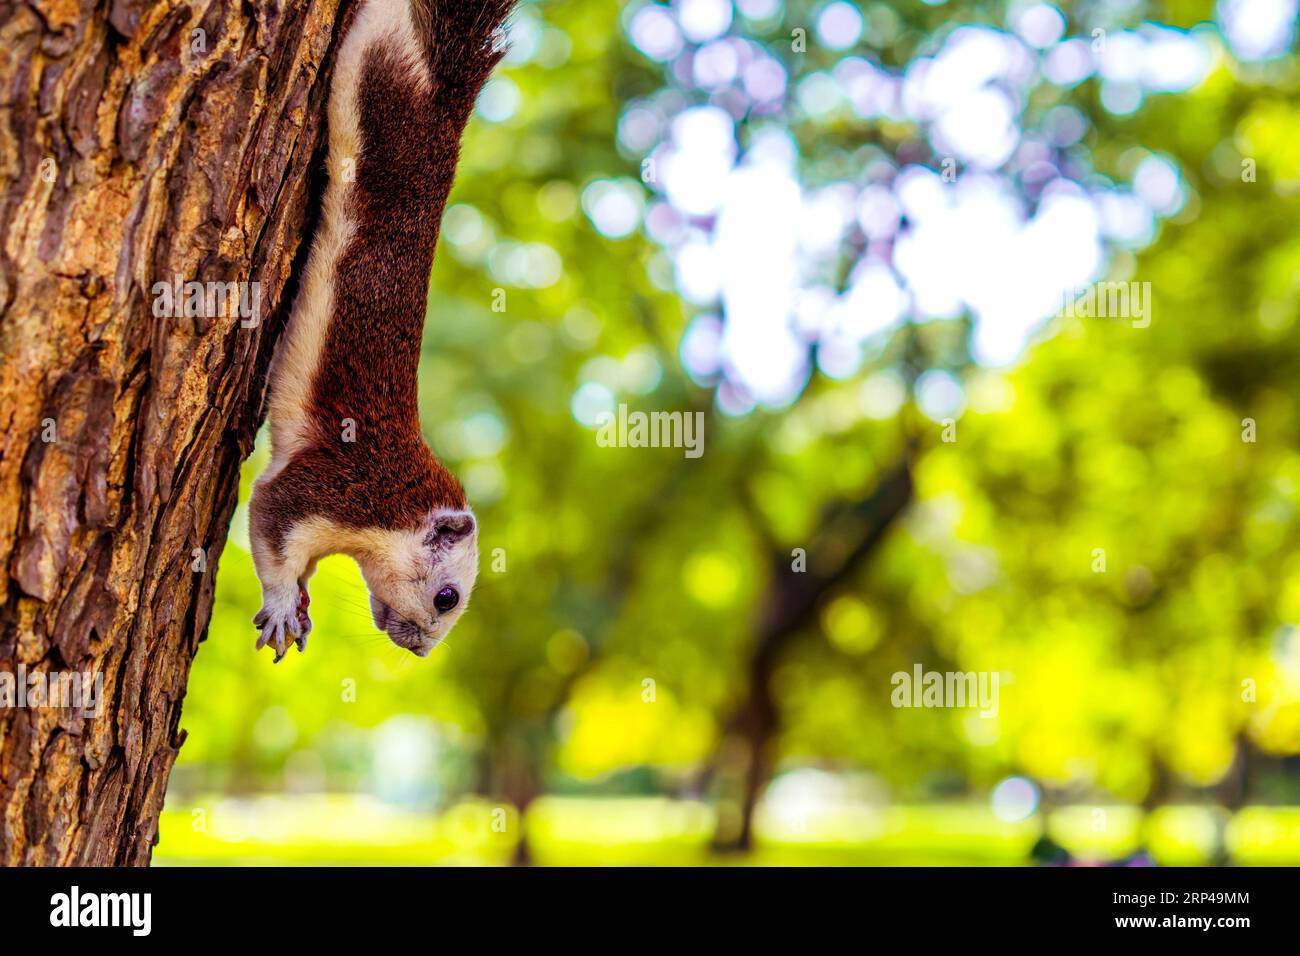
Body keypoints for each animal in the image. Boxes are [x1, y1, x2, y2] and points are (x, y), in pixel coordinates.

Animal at [248, 0, 514, 662]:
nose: (419, 651)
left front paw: (302, 602)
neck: (398, 510)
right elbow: (271, 521)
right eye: (447, 596)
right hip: (380, 82)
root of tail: (449, 95)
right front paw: (284, 605)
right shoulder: (334, 489)